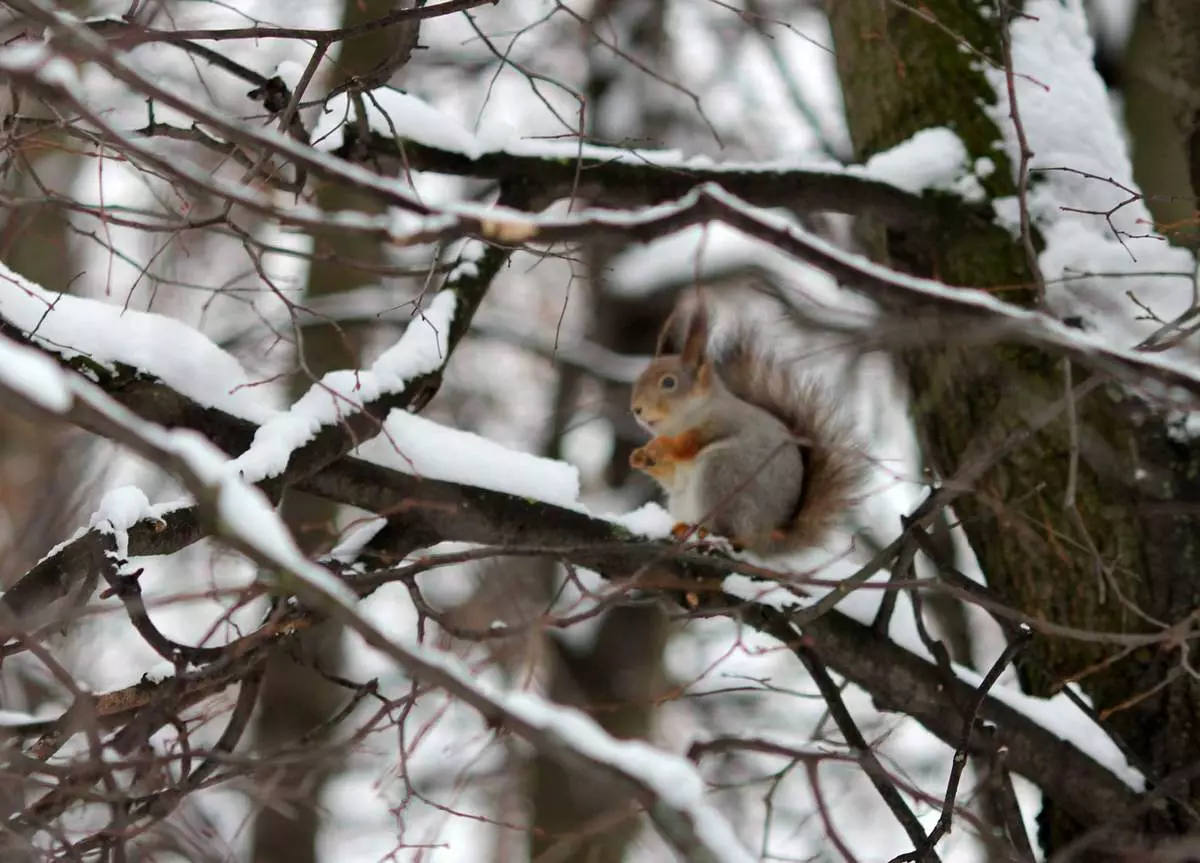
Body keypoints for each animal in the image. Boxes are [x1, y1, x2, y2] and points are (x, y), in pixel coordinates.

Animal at [628, 294, 864, 556]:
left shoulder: (724, 421)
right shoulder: (676, 473)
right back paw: (683, 528)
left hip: (722, 478)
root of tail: (768, 540)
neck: (683, 420)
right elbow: (671, 477)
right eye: (641, 376)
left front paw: (662, 446)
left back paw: (707, 533)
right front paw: (639, 457)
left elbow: (687, 444)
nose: (636, 409)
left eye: (669, 382)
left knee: (729, 530)